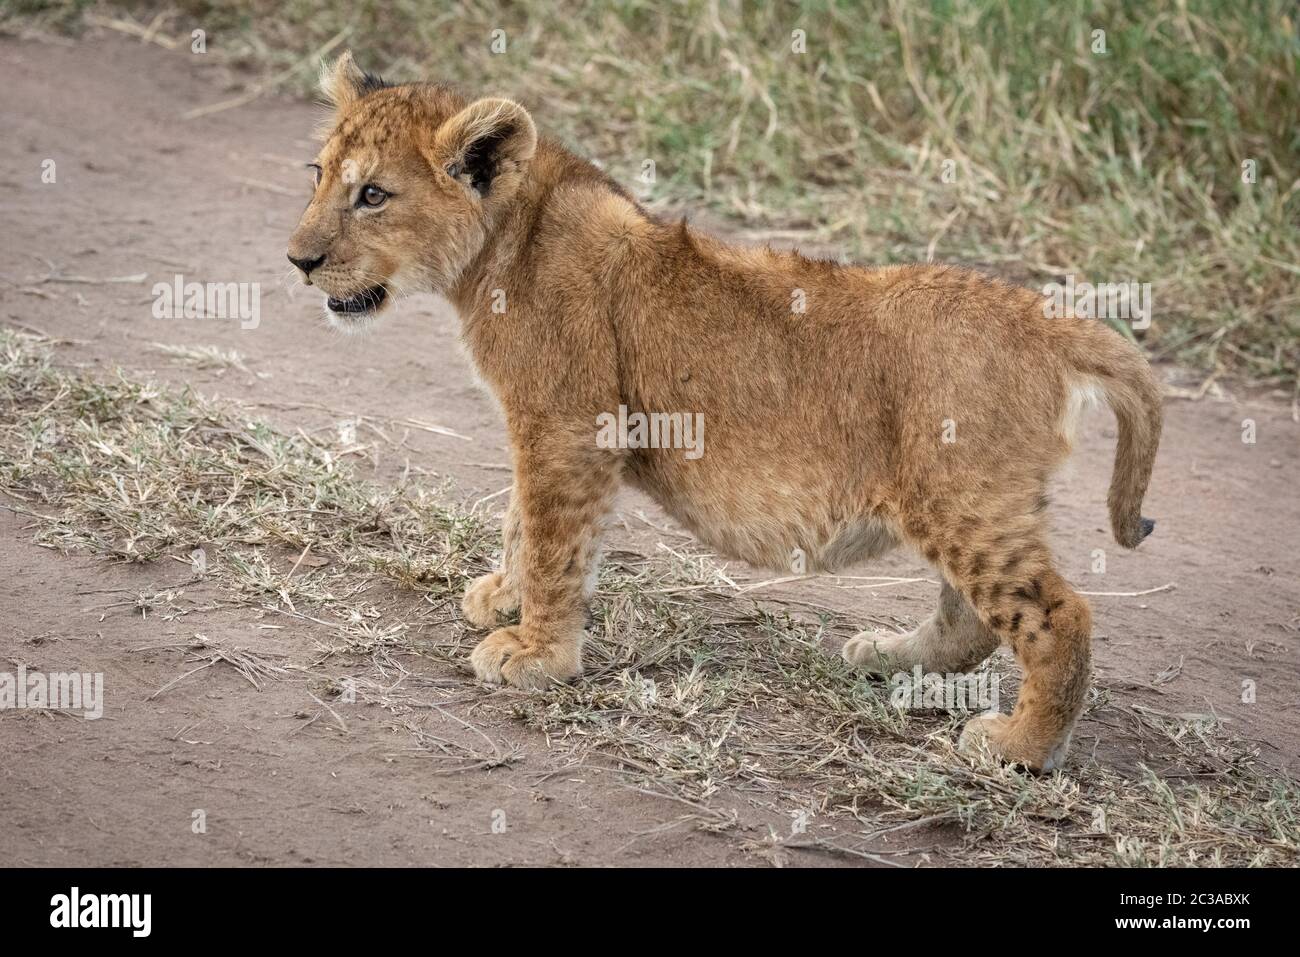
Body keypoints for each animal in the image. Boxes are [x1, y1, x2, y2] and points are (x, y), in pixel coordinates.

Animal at [287, 53, 1163, 772]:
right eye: (319, 174)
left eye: (373, 195)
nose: (298, 260)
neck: (508, 238)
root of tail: (1044, 318)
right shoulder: (551, 428)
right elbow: (521, 521)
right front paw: (504, 595)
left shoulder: (569, 427)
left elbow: (553, 538)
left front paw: (537, 652)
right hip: (961, 497)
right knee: (974, 614)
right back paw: (888, 658)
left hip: (962, 497)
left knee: (1058, 615)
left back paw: (1020, 747)